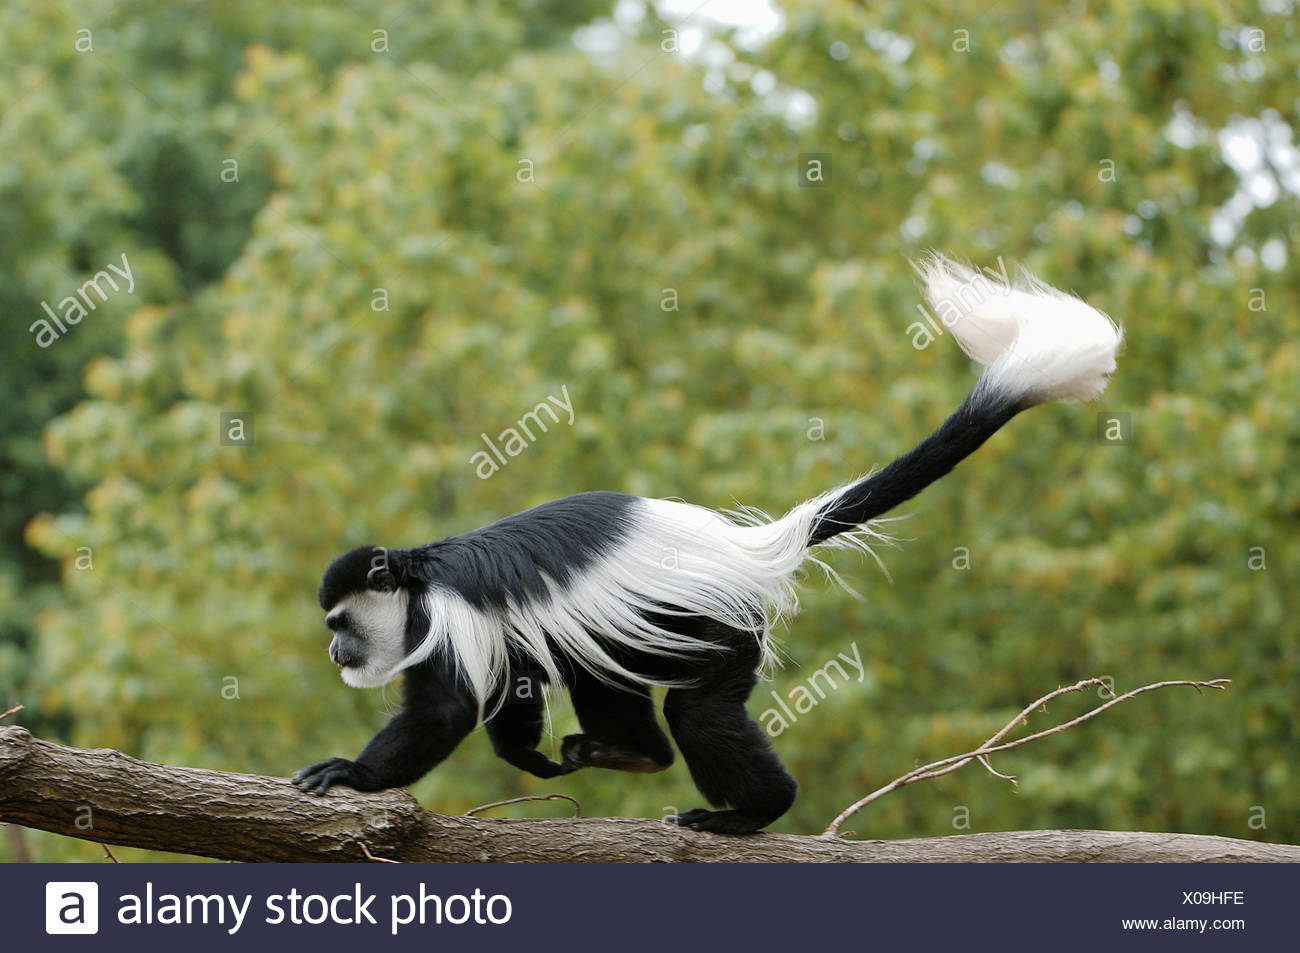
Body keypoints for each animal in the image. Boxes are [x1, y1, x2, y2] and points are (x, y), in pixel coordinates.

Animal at [292, 255, 1122, 834]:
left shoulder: (449, 615)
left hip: (709, 620)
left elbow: (448, 709)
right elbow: (517, 683)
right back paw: (637, 755)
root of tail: (747, 546)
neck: (417, 579)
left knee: (700, 711)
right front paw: (529, 758)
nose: (335, 653)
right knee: (606, 675)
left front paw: (351, 774)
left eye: (339, 622)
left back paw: (752, 810)